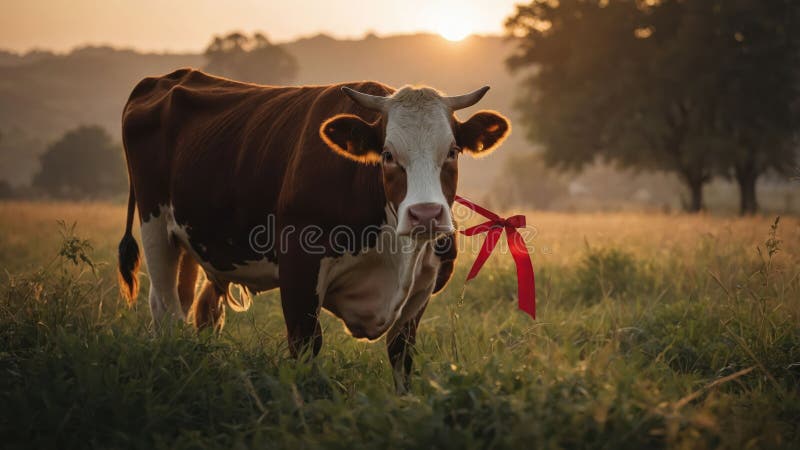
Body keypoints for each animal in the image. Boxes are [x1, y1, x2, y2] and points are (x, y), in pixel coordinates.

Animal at [117, 68, 510, 391]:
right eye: (387, 155)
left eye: (453, 151)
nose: (425, 214)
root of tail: (166, 78)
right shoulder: (298, 271)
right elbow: (306, 344)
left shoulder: (422, 287)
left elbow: (402, 355)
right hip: (156, 227)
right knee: (165, 308)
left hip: (189, 241)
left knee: (187, 306)